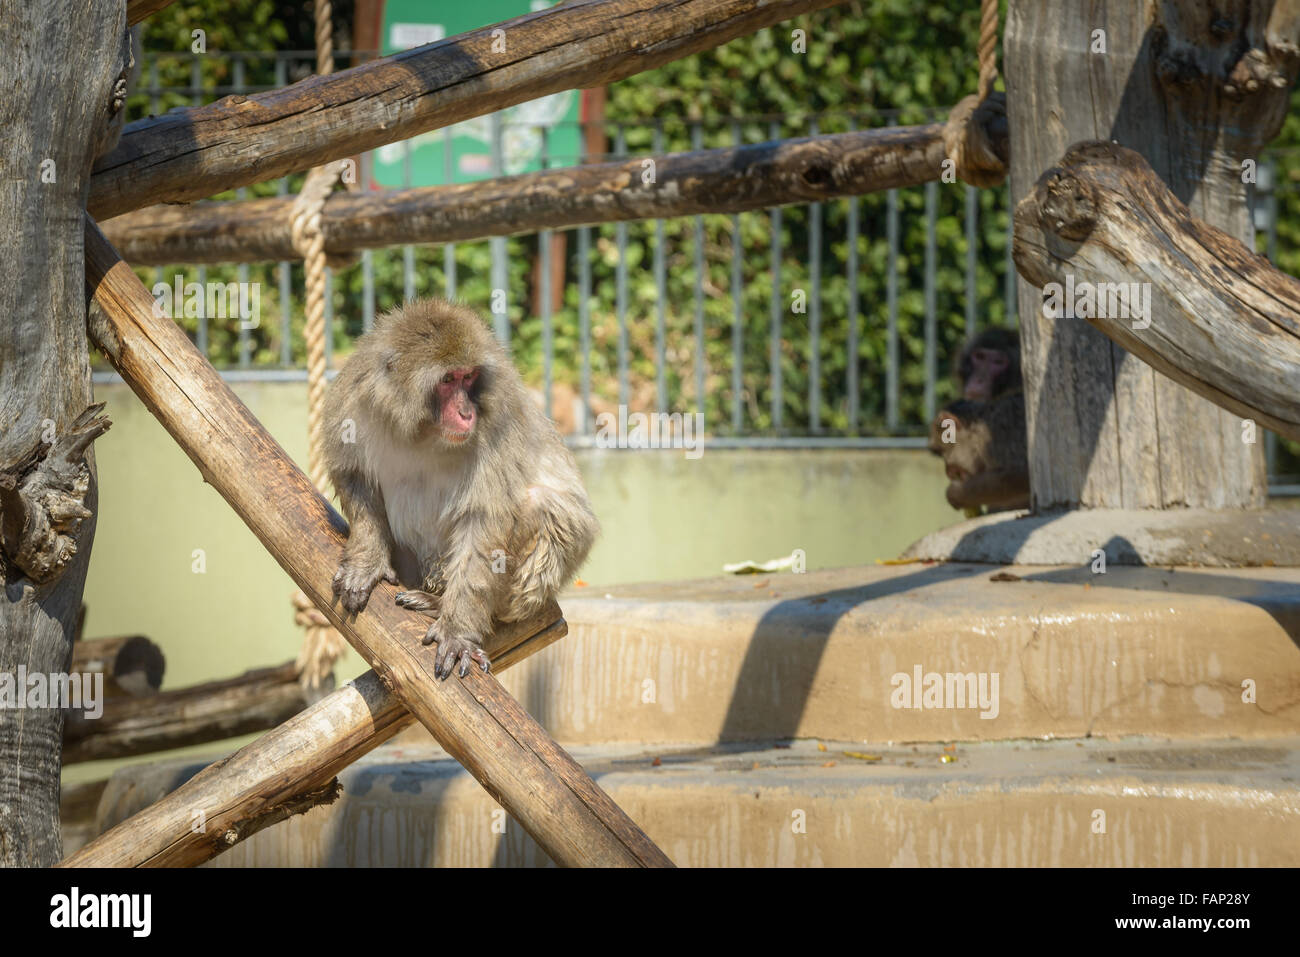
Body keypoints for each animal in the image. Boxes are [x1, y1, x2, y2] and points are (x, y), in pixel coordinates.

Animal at [322, 299, 600, 679]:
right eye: (448, 380)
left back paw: (441, 605)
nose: (467, 412)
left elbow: (484, 522)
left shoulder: (497, 424)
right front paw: (366, 561)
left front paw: (457, 632)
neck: (422, 431)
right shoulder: (352, 399)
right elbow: (353, 476)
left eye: (468, 378)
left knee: (542, 505)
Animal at [928, 328, 1030, 512]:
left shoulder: (1000, 428)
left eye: (998, 362)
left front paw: (957, 494)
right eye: (979, 357)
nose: (948, 471)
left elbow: (1020, 474)